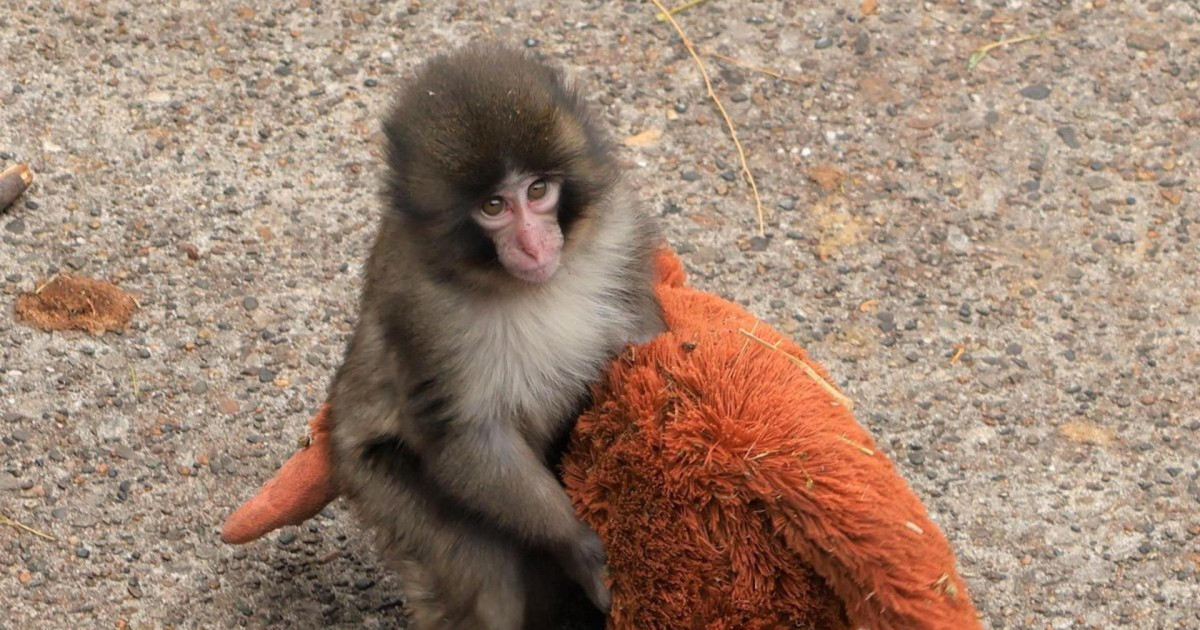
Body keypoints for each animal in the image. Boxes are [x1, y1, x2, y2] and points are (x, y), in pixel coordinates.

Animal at [327, 42, 665, 630]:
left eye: (538, 190)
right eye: (493, 207)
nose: (533, 245)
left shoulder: (617, 232)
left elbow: (643, 337)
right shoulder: (423, 311)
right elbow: (467, 435)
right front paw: (581, 546)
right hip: (376, 479)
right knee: (486, 582)